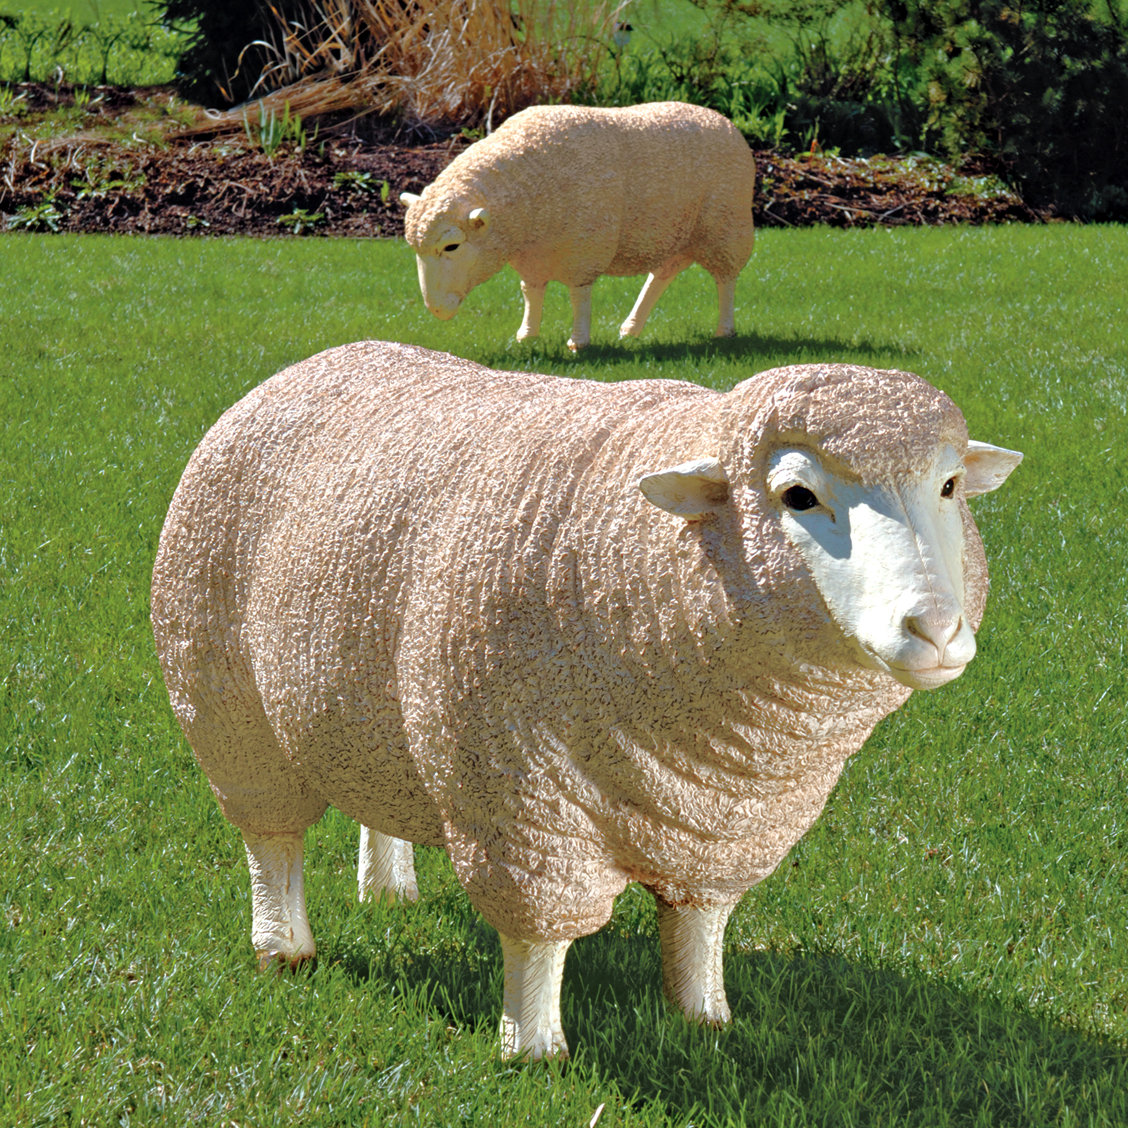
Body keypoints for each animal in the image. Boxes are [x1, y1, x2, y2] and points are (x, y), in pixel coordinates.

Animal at [151, 341, 1022, 1061]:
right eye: (797, 495)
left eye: (948, 485)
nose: (936, 630)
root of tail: (310, 363)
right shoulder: (518, 800)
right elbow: (539, 940)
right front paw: (533, 1048)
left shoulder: (727, 818)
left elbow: (701, 923)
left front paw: (704, 1016)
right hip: (225, 704)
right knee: (271, 842)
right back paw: (284, 946)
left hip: (362, 697)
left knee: (373, 794)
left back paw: (389, 890)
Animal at [399, 101, 756, 350]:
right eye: (413, 249)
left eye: (452, 246)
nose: (436, 309)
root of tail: (724, 121)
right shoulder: (532, 255)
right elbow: (531, 292)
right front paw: (526, 335)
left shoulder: (584, 249)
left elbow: (578, 295)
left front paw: (579, 342)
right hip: (676, 232)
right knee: (663, 273)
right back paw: (631, 328)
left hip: (726, 226)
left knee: (726, 280)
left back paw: (724, 330)